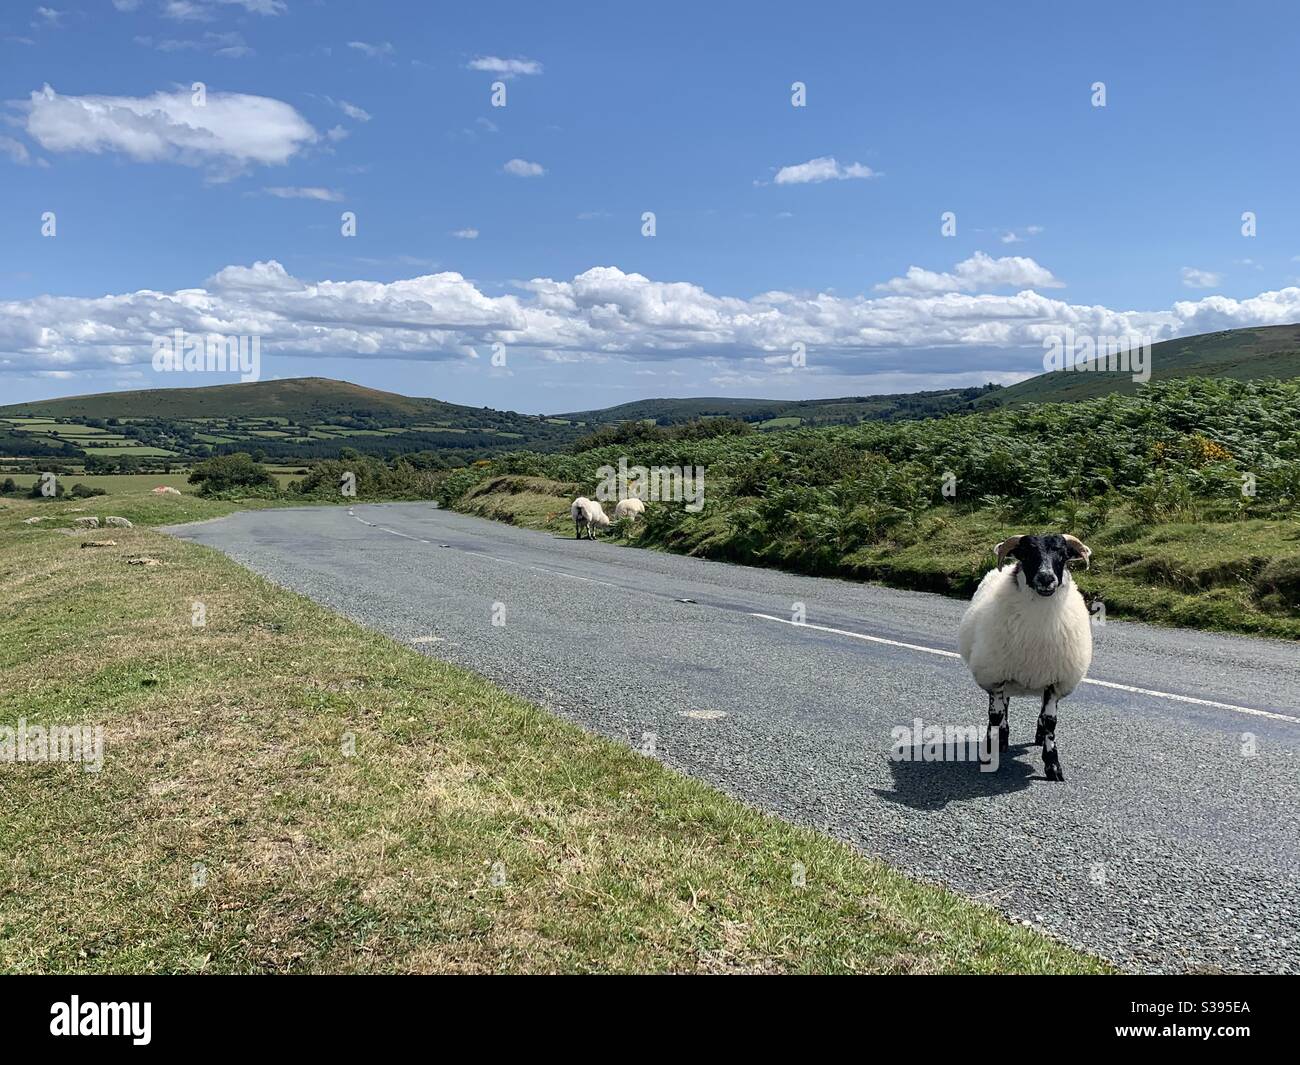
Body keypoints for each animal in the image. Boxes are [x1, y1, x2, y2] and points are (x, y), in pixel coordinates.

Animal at [957, 533, 1092, 782]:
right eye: (1027, 554)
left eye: (1062, 554)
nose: (1047, 578)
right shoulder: (997, 677)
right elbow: (996, 715)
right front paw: (991, 751)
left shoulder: (1054, 681)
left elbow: (1050, 722)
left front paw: (1053, 766)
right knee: (1002, 708)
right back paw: (1001, 738)